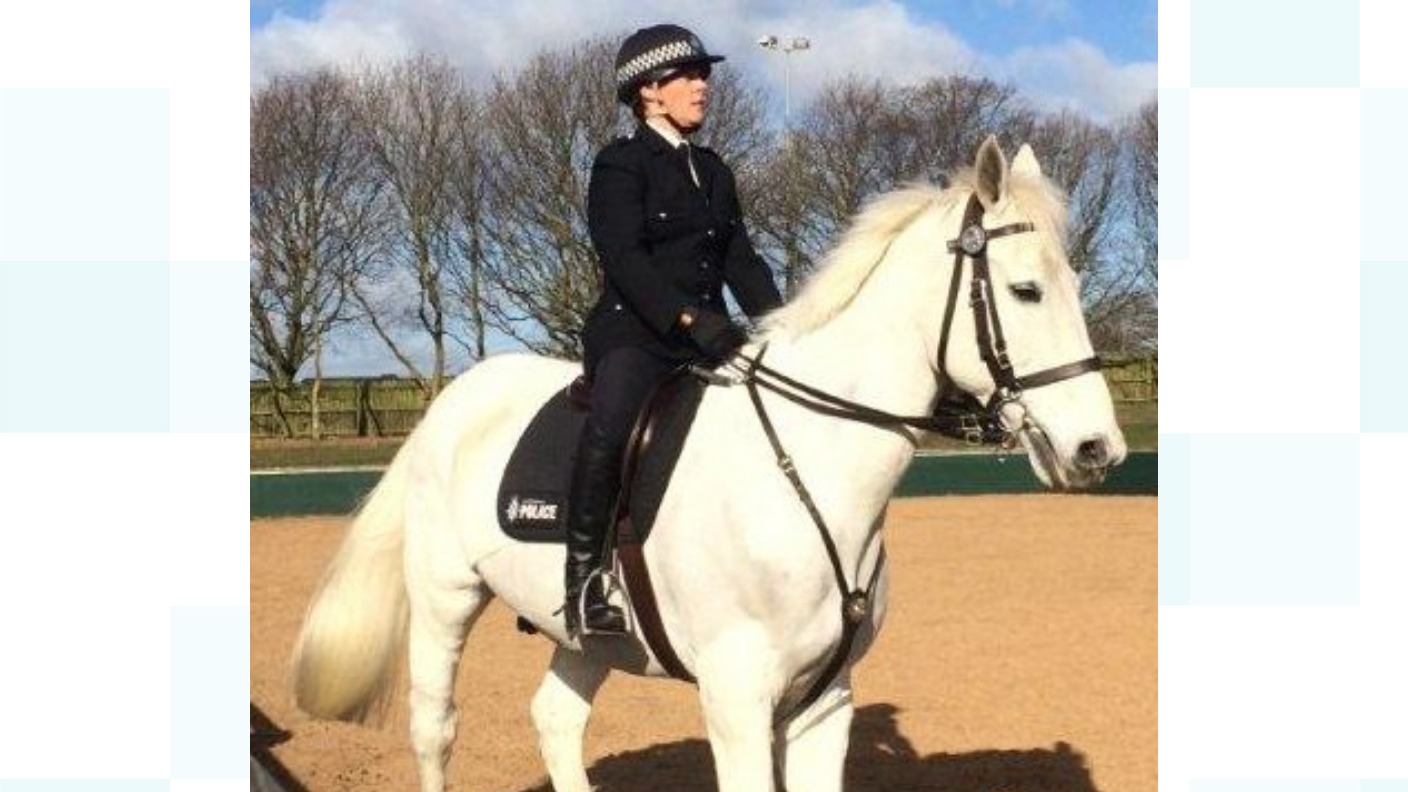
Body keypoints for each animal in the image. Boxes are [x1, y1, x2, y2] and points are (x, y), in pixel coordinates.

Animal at [290, 136, 1127, 792]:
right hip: (445, 602)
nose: (1099, 449)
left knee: (556, 720)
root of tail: (453, 401)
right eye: (1025, 290)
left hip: (589, 639)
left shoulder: (826, 703)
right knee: (434, 730)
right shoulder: (737, 702)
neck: (806, 468)